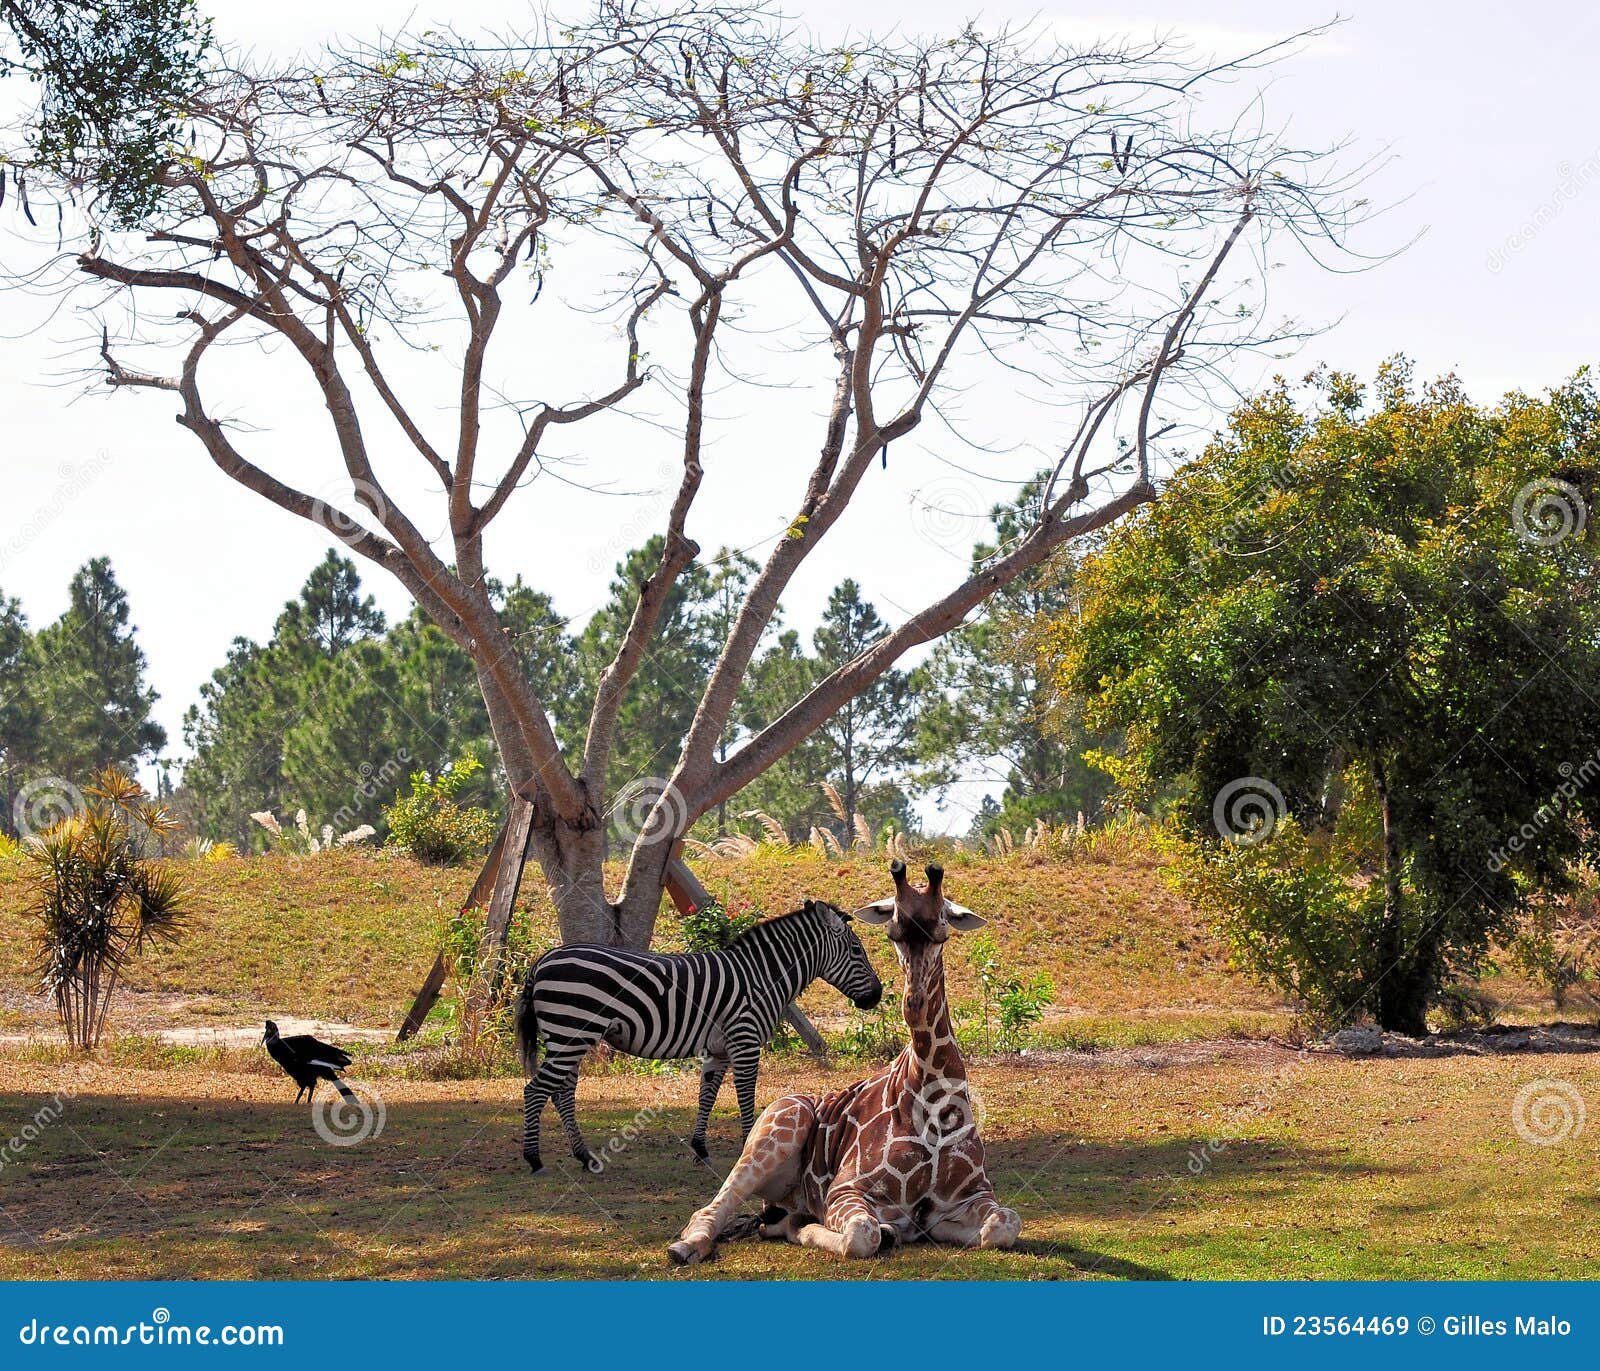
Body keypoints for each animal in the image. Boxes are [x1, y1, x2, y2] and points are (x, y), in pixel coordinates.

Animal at [514, 899, 883, 1175]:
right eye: (856, 949)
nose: (877, 996)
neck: (762, 976)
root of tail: (542, 961)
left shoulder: (717, 1050)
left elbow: (707, 1096)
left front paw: (700, 1149)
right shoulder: (745, 1040)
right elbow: (745, 1097)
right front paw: (749, 1147)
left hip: (567, 1037)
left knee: (561, 1092)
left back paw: (584, 1156)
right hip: (571, 1032)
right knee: (536, 1090)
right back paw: (534, 1159)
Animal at [667, 860, 1022, 1264]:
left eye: (941, 934)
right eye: (892, 933)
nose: (913, 1007)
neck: (933, 1099)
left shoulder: (973, 1195)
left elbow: (1003, 1225)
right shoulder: (845, 1189)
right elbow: (861, 1234)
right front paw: (870, 1232)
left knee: (776, 1220)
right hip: (779, 1124)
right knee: (710, 1210)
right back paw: (687, 1247)